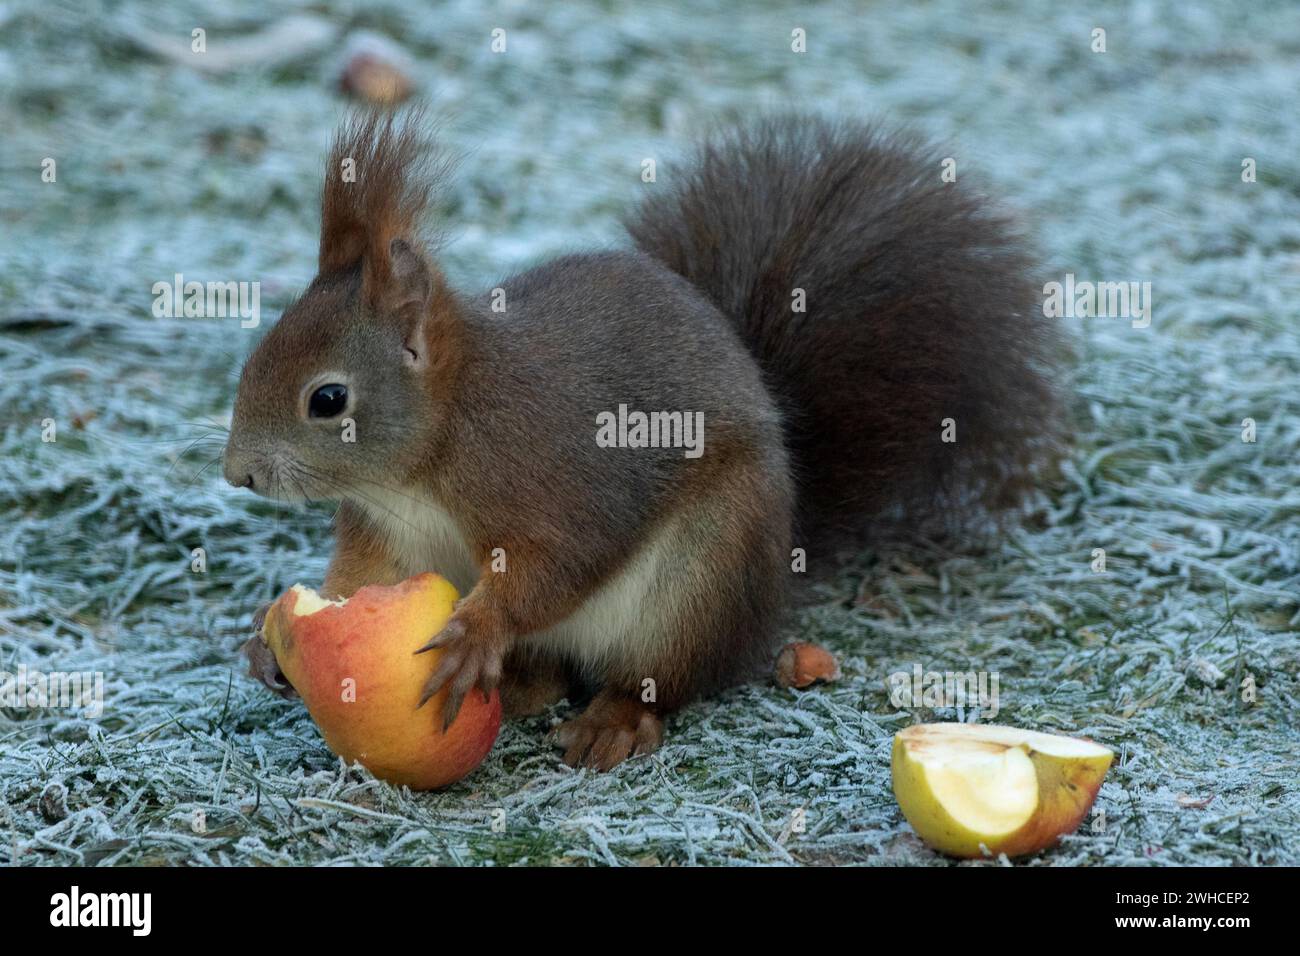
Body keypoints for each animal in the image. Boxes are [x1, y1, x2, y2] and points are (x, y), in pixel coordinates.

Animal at [225, 111, 1062, 770]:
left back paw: (615, 719)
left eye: (327, 400)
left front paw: (478, 630)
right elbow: (359, 580)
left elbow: (562, 560)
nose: (238, 474)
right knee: (556, 674)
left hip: (699, 580)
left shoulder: (555, 475)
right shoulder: (387, 530)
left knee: (660, 678)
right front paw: (272, 638)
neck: (428, 459)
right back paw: (522, 685)